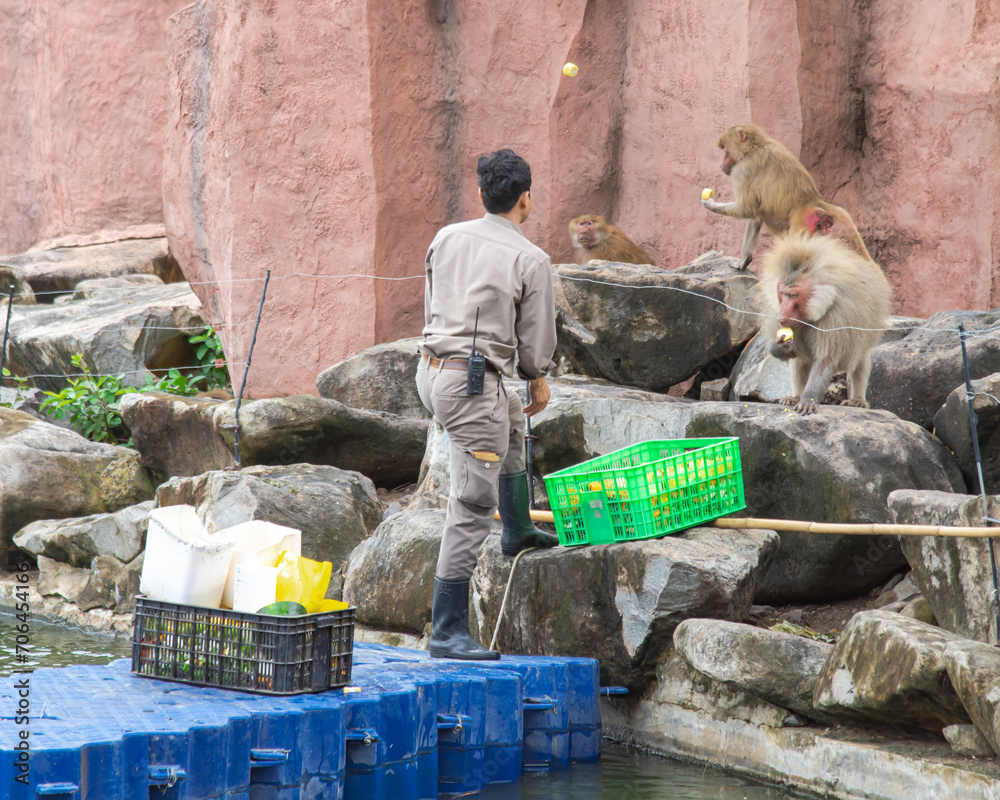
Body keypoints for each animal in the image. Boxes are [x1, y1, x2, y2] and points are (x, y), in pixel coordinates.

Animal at [702, 123, 873, 269]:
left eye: (724, 150)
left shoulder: (742, 170)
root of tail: (814, 201)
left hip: (802, 224)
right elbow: (755, 216)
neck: (754, 147)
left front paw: (710, 204)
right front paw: (744, 260)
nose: (720, 164)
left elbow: (747, 209)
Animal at [758, 232, 891, 415]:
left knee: (861, 359)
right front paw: (778, 347)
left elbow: (826, 360)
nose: (782, 316)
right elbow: (791, 354)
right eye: (783, 293)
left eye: (793, 295)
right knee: (799, 361)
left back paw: (857, 400)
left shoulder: (837, 318)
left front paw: (808, 401)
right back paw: (795, 397)